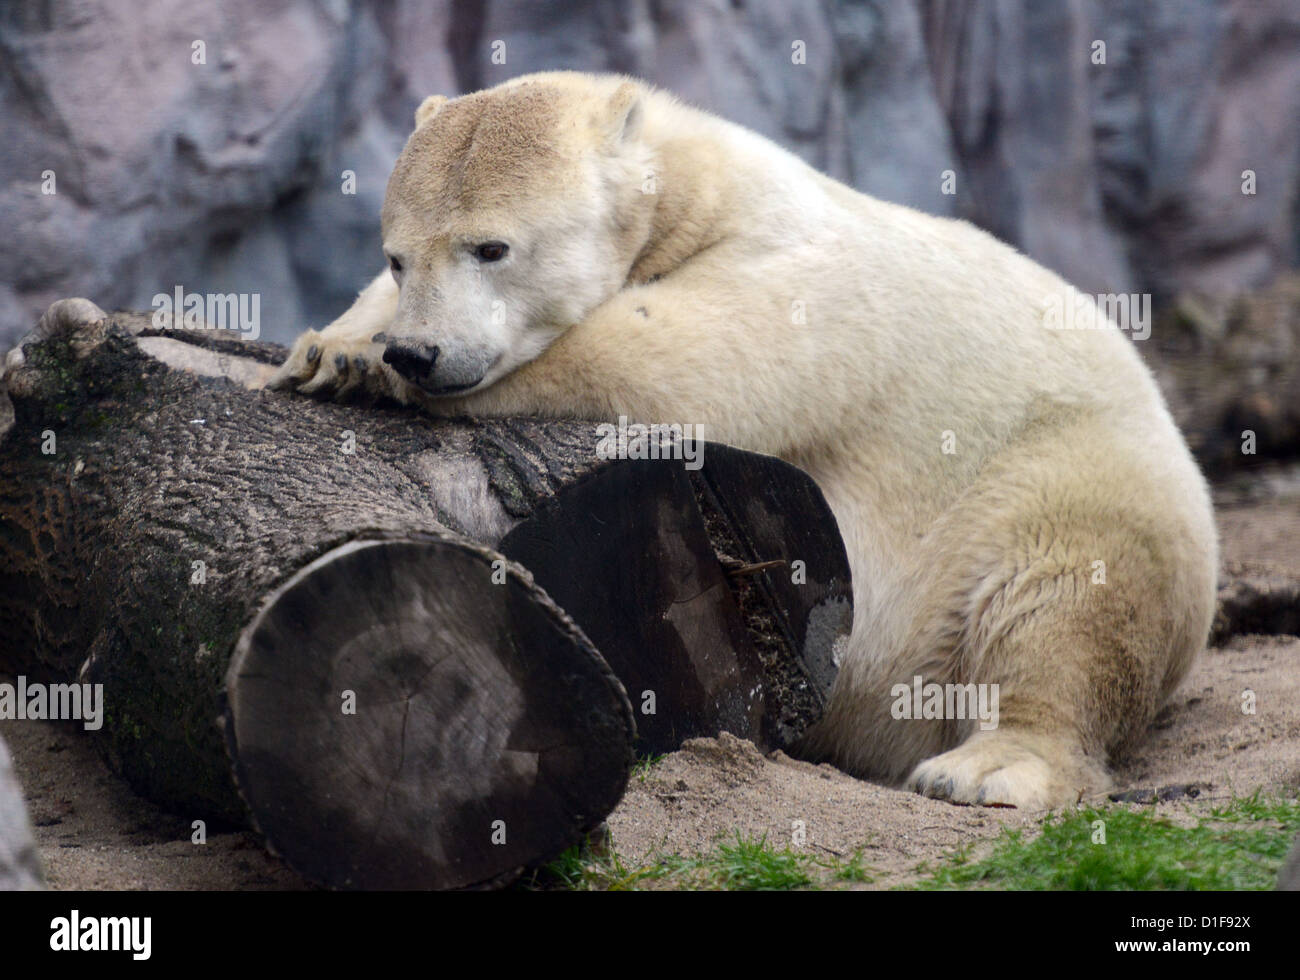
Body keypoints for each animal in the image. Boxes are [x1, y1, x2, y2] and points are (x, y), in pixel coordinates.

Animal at [269, 71, 1219, 810]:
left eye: (491, 247)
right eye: (398, 257)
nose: (420, 353)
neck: (690, 180)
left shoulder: (793, 270)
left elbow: (683, 363)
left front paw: (373, 364)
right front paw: (329, 352)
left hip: (1062, 481)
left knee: (1063, 600)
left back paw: (987, 768)